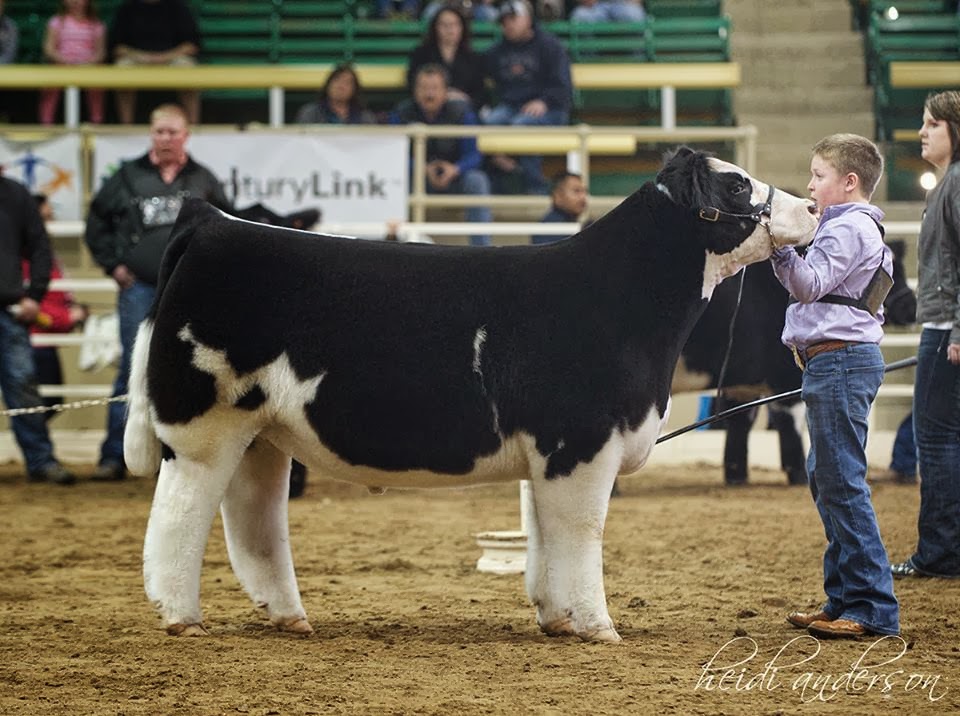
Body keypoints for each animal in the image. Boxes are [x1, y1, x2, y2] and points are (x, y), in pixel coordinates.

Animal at [123, 147, 818, 643]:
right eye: (737, 185)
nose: (812, 208)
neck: (618, 297)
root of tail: (212, 221)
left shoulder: (550, 451)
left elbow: (543, 531)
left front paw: (557, 619)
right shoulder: (582, 440)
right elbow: (582, 530)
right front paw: (599, 626)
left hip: (262, 432)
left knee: (253, 517)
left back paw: (289, 615)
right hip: (205, 425)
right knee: (180, 514)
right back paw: (181, 615)